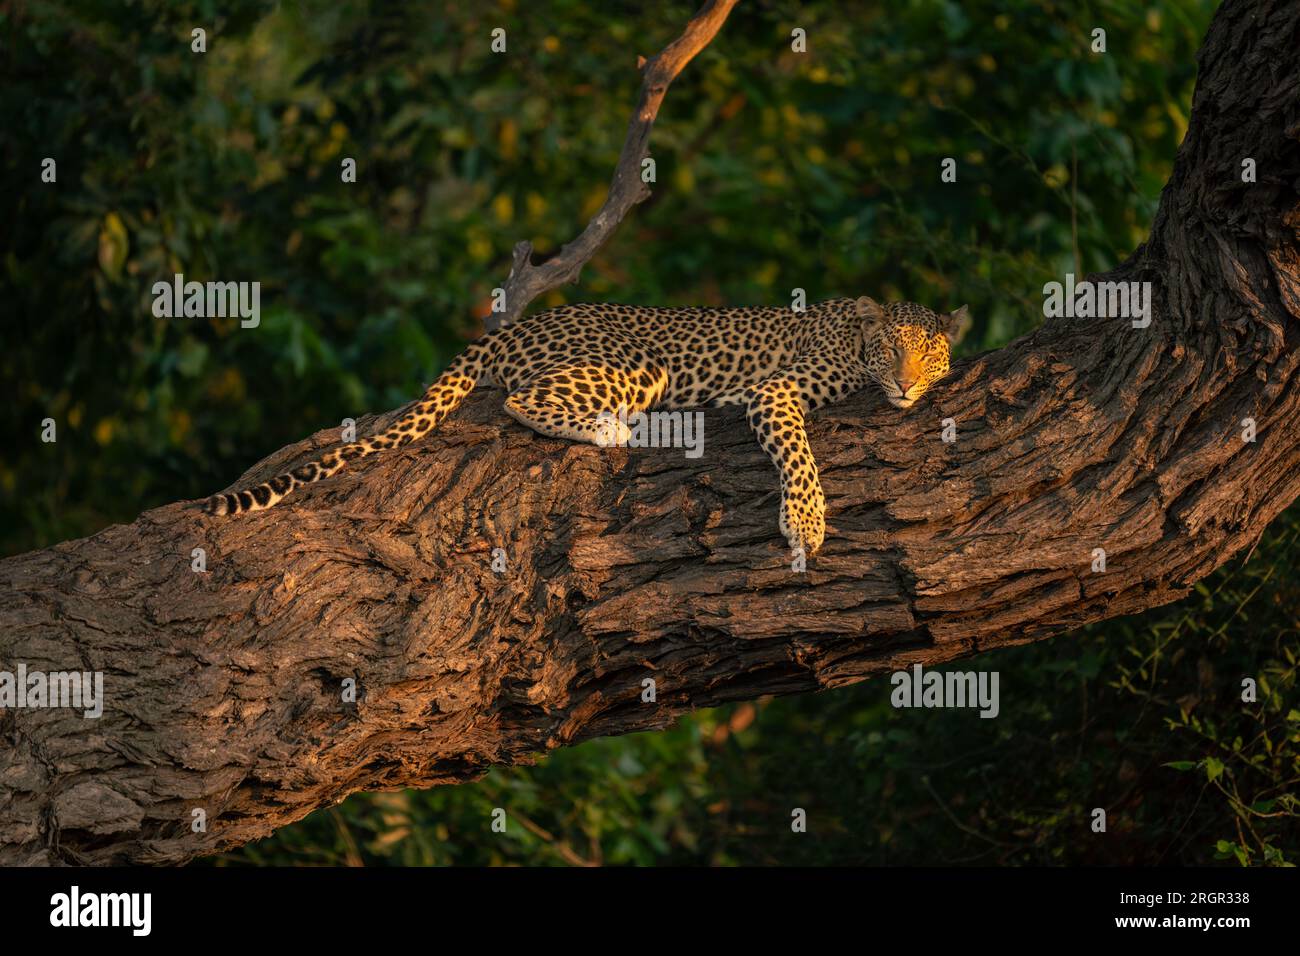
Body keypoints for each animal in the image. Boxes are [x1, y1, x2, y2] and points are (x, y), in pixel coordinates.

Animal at [205, 296, 971, 554]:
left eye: (928, 352)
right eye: (891, 348)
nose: (908, 382)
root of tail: (514, 327)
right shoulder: (776, 391)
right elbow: (799, 457)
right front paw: (806, 524)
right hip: (636, 362)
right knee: (520, 402)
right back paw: (615, 432)